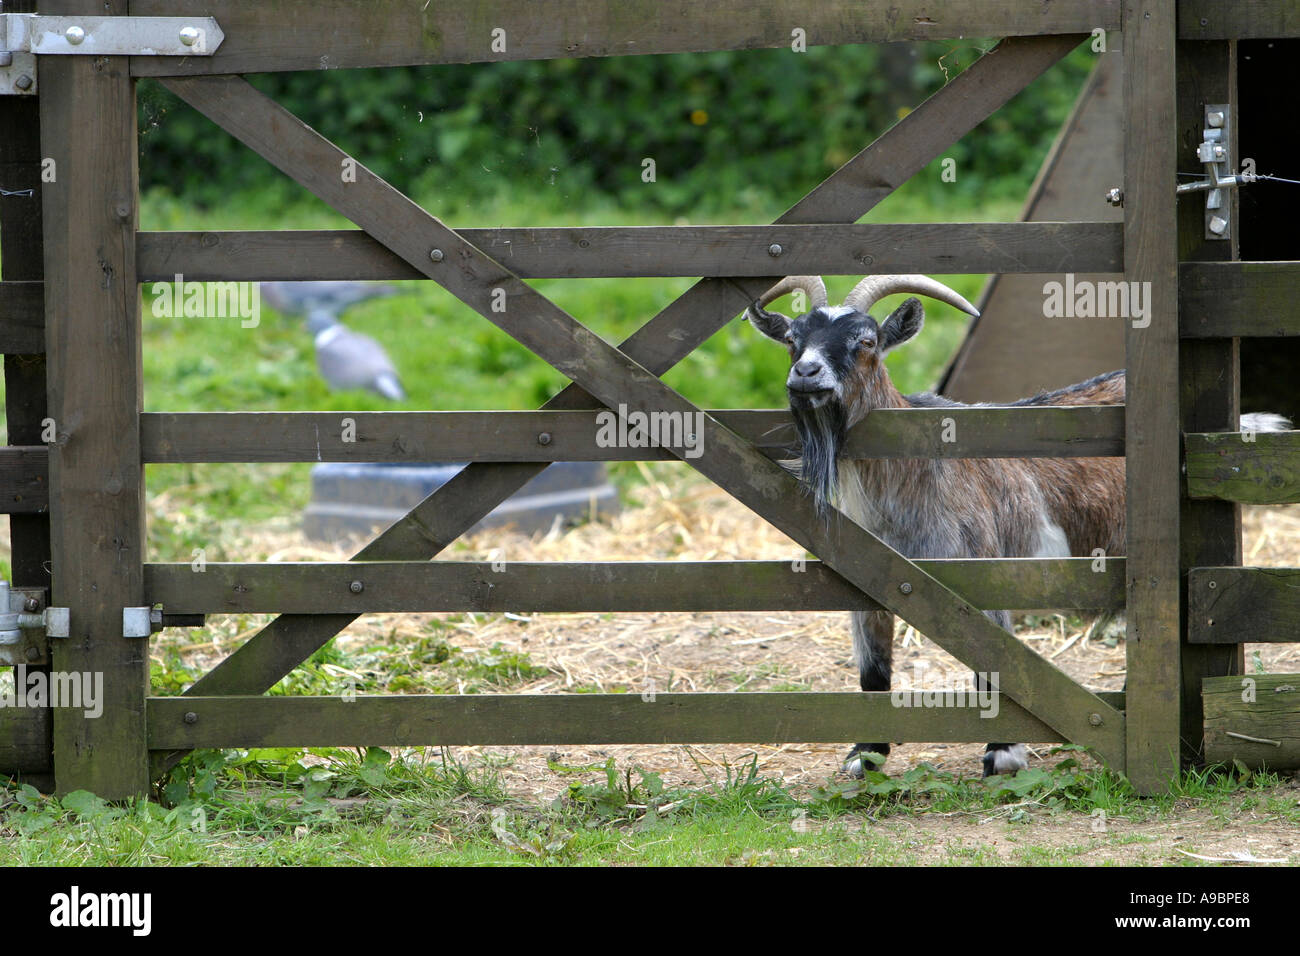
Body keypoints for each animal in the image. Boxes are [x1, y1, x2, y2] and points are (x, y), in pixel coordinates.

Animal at [746, 274, 1289, 778]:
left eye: (866, 341)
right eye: (793, 338)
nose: (806, 372)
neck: (910, 476)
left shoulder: (981, 572)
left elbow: (994, 662)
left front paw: (1003, 752)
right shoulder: (864, 580)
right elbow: (873, 673)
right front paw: (866, 755)